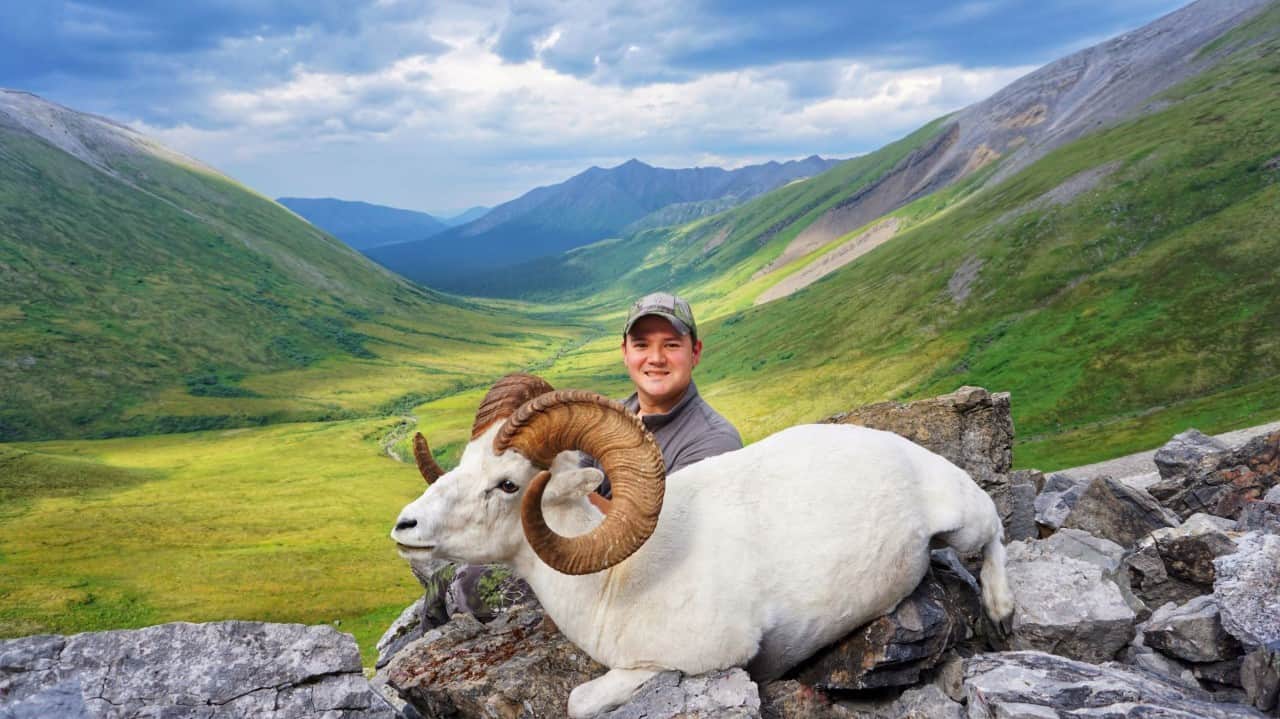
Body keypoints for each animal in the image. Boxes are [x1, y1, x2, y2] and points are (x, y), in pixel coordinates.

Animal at [391, 373, 1014, 717]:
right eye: (466, 459)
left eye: (508, 484)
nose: (405, 528)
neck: (614, 584)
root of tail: (906, 452)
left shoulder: (686, 664)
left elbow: (576, 701)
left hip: (966, 521)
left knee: (993, 537)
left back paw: (1002, 613)